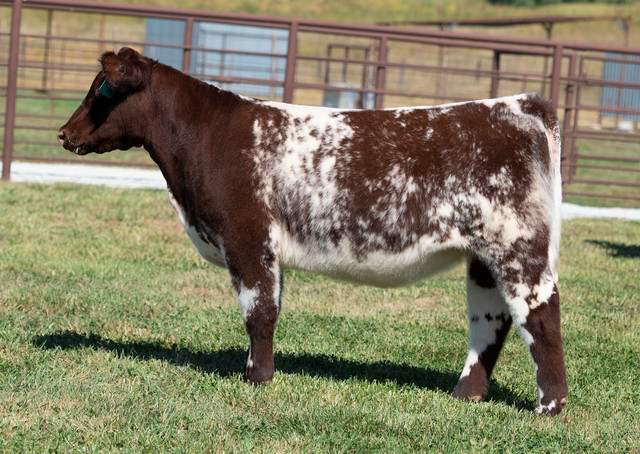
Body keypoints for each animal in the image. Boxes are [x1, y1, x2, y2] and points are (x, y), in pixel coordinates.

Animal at [58, 47, 568, 415]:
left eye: (104, 89)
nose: (64, 133)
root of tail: (521, 104)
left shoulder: (248, 241)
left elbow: (259, 313)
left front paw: (257, 379)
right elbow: (269, 310)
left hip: (518, 245)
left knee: (540, 315)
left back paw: (549, 406)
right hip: (483, 257)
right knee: (491, 321)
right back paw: (466, 394)